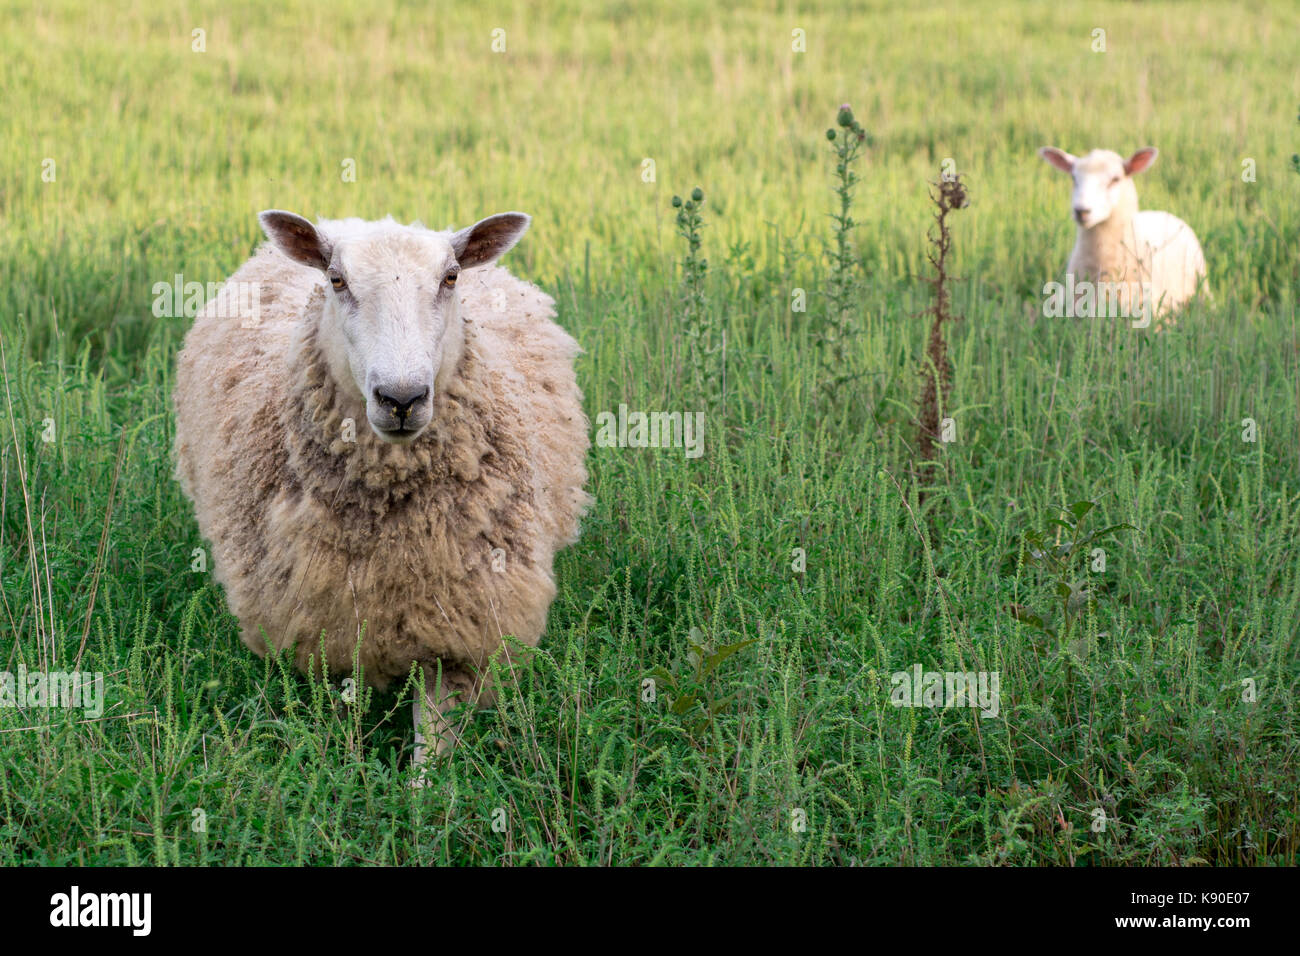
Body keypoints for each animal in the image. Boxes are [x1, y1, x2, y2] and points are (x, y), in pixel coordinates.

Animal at [173, 210, 591, 773]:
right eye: (336, 280)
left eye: (451, 277)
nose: (401, 398)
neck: (389, 518)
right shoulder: (321, 627)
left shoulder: (455, 634)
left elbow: (432, 746)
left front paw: (422, 793)